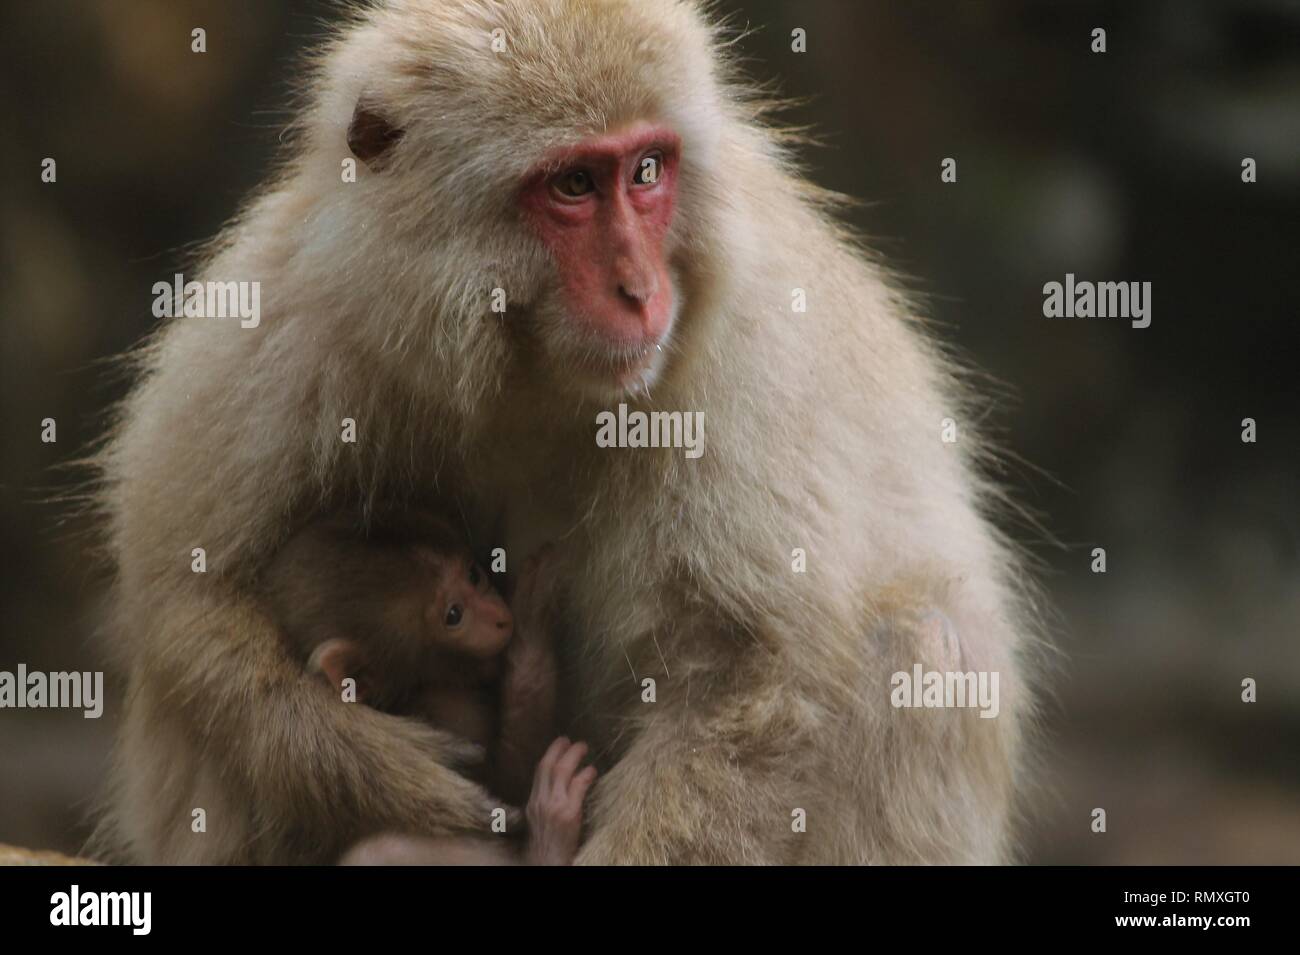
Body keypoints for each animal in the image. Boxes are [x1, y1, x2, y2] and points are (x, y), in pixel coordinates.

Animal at [94, 0, 1041, 864]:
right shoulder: (295, 313)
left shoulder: (741, 360)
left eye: (647, 170)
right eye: (574, 186)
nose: (641, 291)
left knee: (912, 641)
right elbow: (189, 594)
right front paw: (376, 768)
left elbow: (754, 671)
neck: (527, 365)